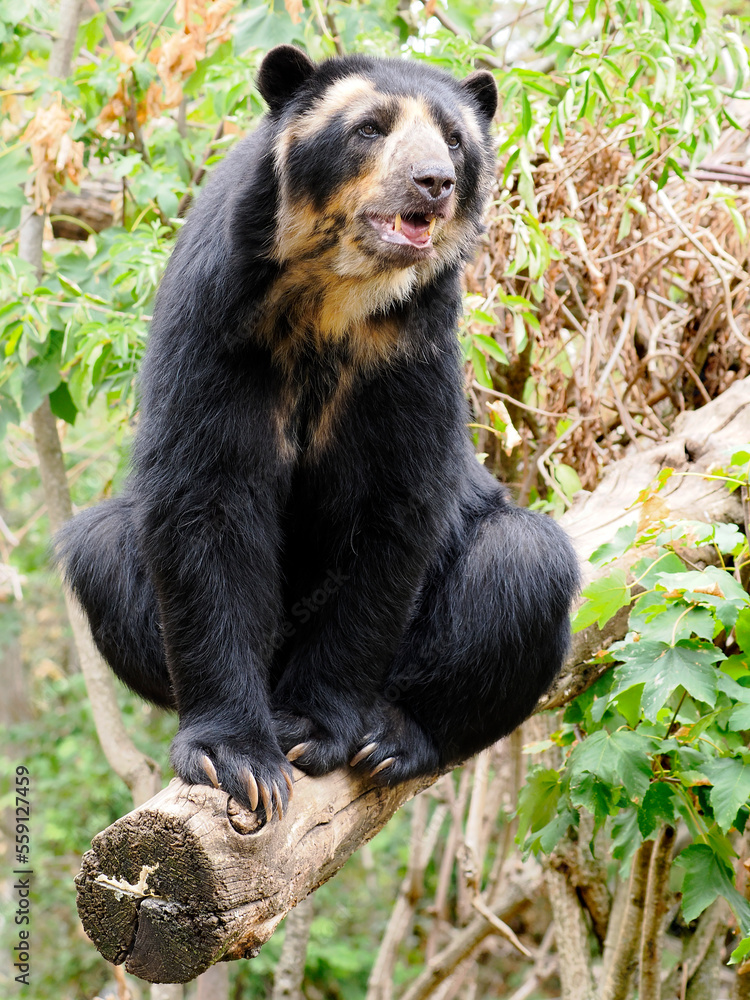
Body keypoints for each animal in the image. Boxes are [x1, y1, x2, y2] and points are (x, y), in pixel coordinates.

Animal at [56, 45, 579, 823]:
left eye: (455, 138)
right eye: (369, 128)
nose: (435, 183)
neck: (335, 295)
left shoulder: (414, 351)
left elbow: (394, 511)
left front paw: (310, 728)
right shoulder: (216, 326)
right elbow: (204, 497)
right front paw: (234, 758)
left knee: (525, 563)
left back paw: (395, 735)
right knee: (101, 548)